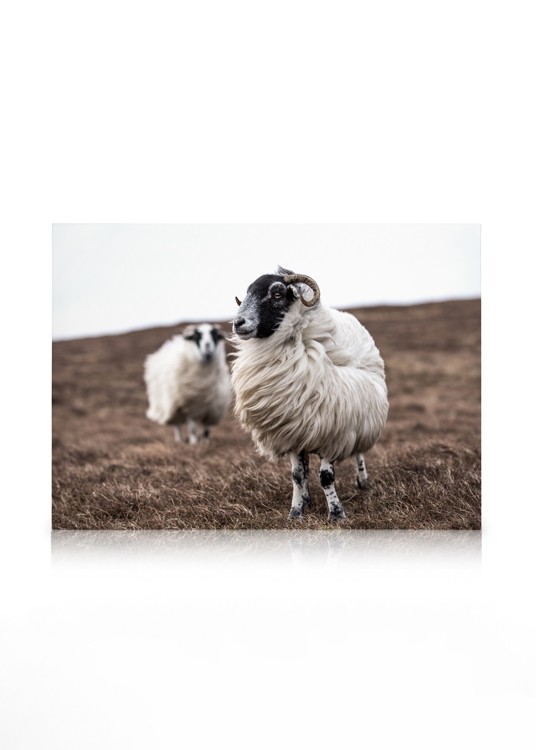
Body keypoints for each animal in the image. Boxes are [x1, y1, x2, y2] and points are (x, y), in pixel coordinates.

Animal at [231, 267, 388, 521]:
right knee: (304, 468)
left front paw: (336, 514)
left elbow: (326, 477)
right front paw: (296, 512)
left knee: (358, 452)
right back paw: (307, 498)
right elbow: (297, 475)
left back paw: (362, 481)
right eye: (247, 293)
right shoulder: (293, 430)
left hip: (360, 417)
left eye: (277, 294)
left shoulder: (333, 430)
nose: (238, 323)